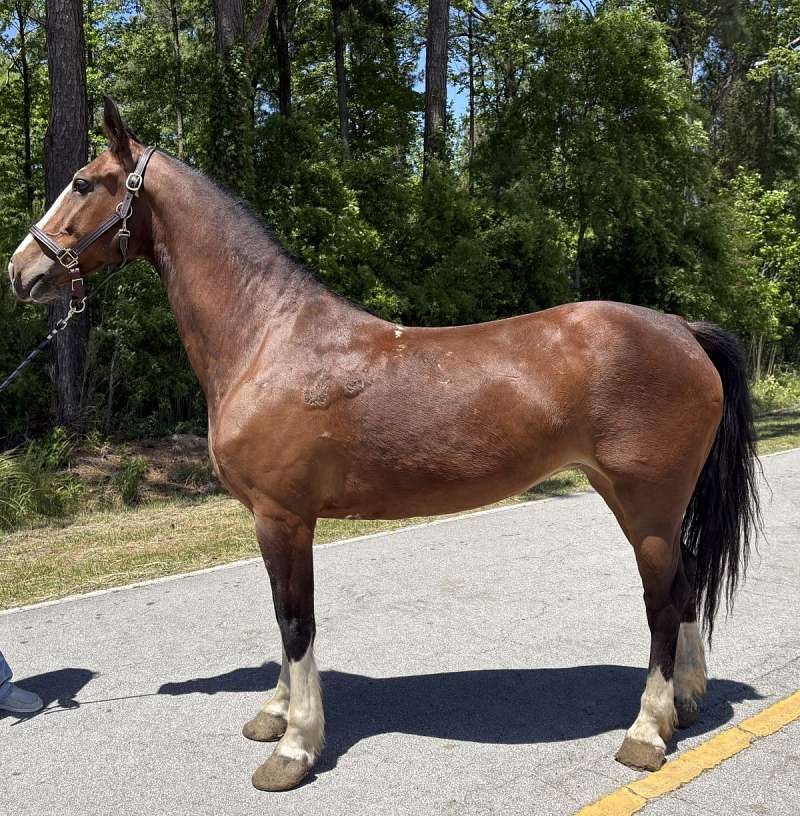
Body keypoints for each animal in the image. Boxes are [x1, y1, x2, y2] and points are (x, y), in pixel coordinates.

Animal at [8, 98, 760, 792]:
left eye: (82, 182)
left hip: (647, 504)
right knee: (687, 584)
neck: (267, 338)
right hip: (643, 503)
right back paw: (685, 703)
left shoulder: (283, 517)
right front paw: (275, 715)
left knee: (663, 600)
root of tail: (680, 329)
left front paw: (294, 748)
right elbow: (282, 620)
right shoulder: (275, 522)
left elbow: (295, 622)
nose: (20, 271)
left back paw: (647, 731)